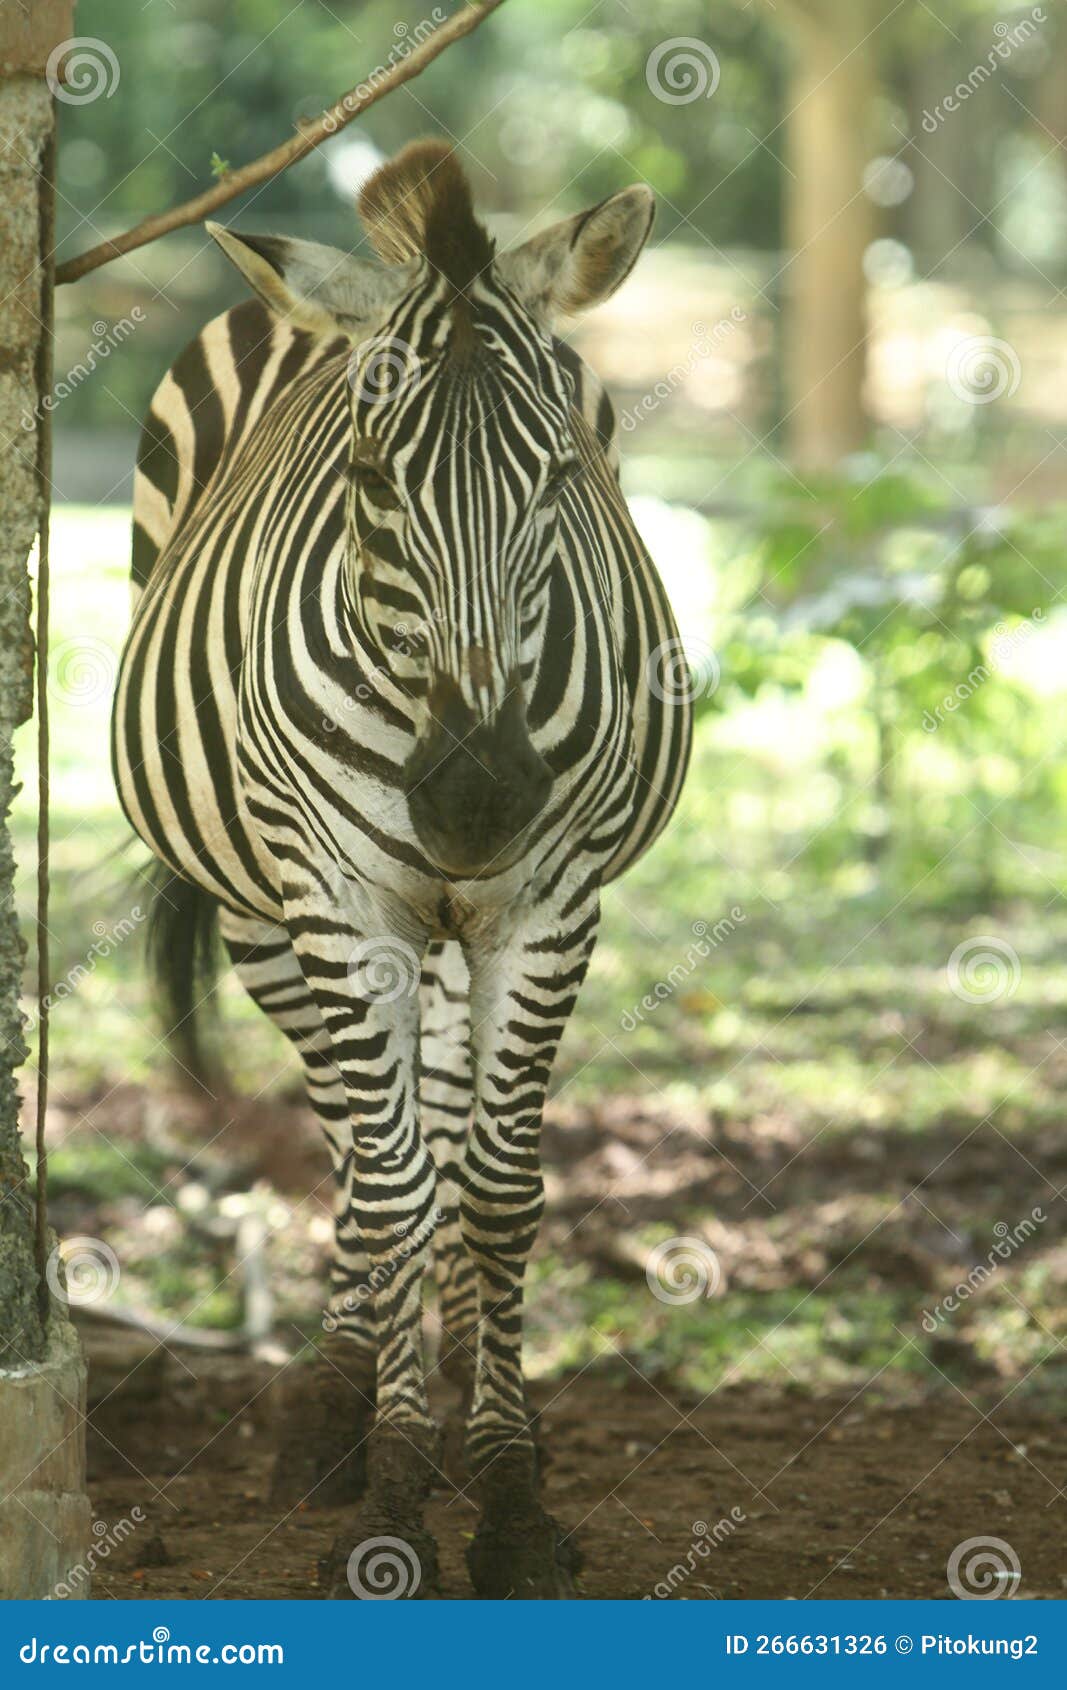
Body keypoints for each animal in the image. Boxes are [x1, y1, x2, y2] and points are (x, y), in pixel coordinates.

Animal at [112, 139, 691, 1597]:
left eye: (559, 476)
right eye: (373, 479)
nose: (477, 795)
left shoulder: (545, 904)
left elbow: (495, 1189)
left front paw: (508, 1493)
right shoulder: (341, 900)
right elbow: (389, 1185)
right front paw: (388, 1498)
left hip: (452, 923)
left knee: (437, 1127)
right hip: (273, 914)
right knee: (356, 1139)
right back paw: (336, 1411)